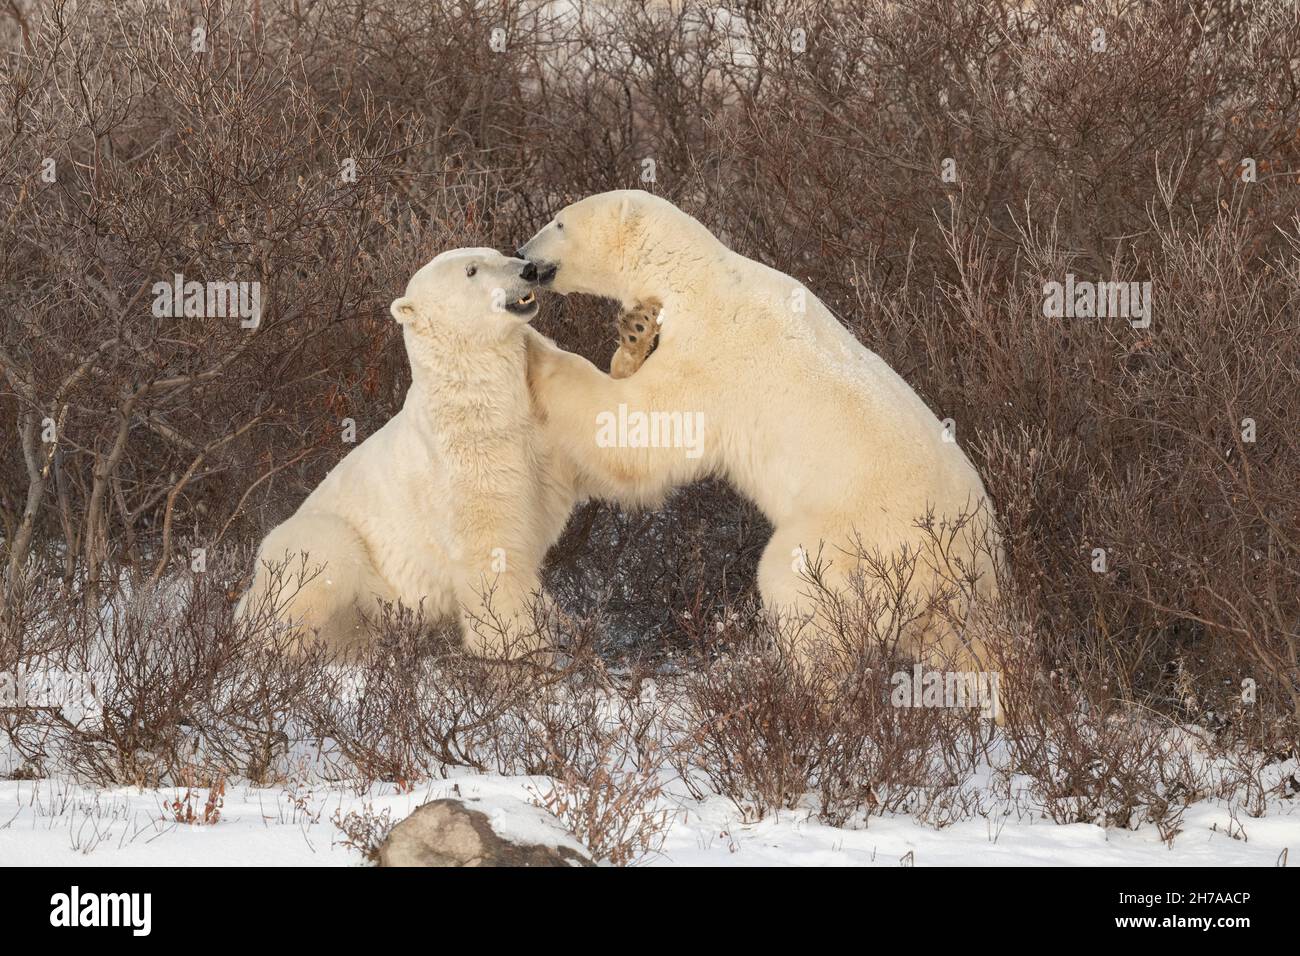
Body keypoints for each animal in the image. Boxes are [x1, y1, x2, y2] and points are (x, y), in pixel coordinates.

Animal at [237, 249, 587, 659]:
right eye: (471, 270)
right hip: (316, 555)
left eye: (499, 252)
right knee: (320, 562)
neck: (476, 401)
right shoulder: (463, 465)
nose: (528, 270)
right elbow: (493, 555)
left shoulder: (539, 430)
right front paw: (519, 654)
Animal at [519, 190, 1003, 675]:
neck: (694, 276)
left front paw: (538, 350)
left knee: (794, 584)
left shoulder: (710, 355)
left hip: (862, 541)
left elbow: (643, 429)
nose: (522, 258)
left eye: (558, 222)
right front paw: (635, 333)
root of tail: (971, 564)